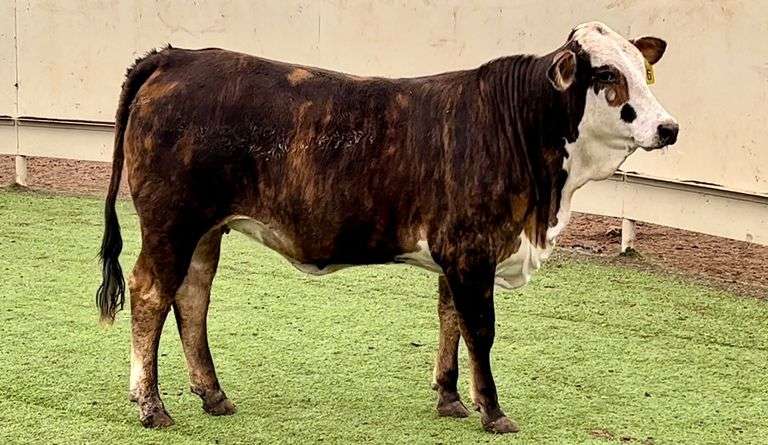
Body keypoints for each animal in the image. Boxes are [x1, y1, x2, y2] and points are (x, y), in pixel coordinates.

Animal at [96, 21, 678, 433]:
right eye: (606, 75)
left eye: (642, 70)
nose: (668, 127)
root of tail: (177, 56)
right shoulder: (472, 251)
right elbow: (481, 330)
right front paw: (493, 412)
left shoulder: (456, 255)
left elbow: (451, 321)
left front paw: (450, 399)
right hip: (172, 222)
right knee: (151, 294)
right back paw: (151, 405)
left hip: (204, 230)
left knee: (192, 298)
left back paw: (213, 394)